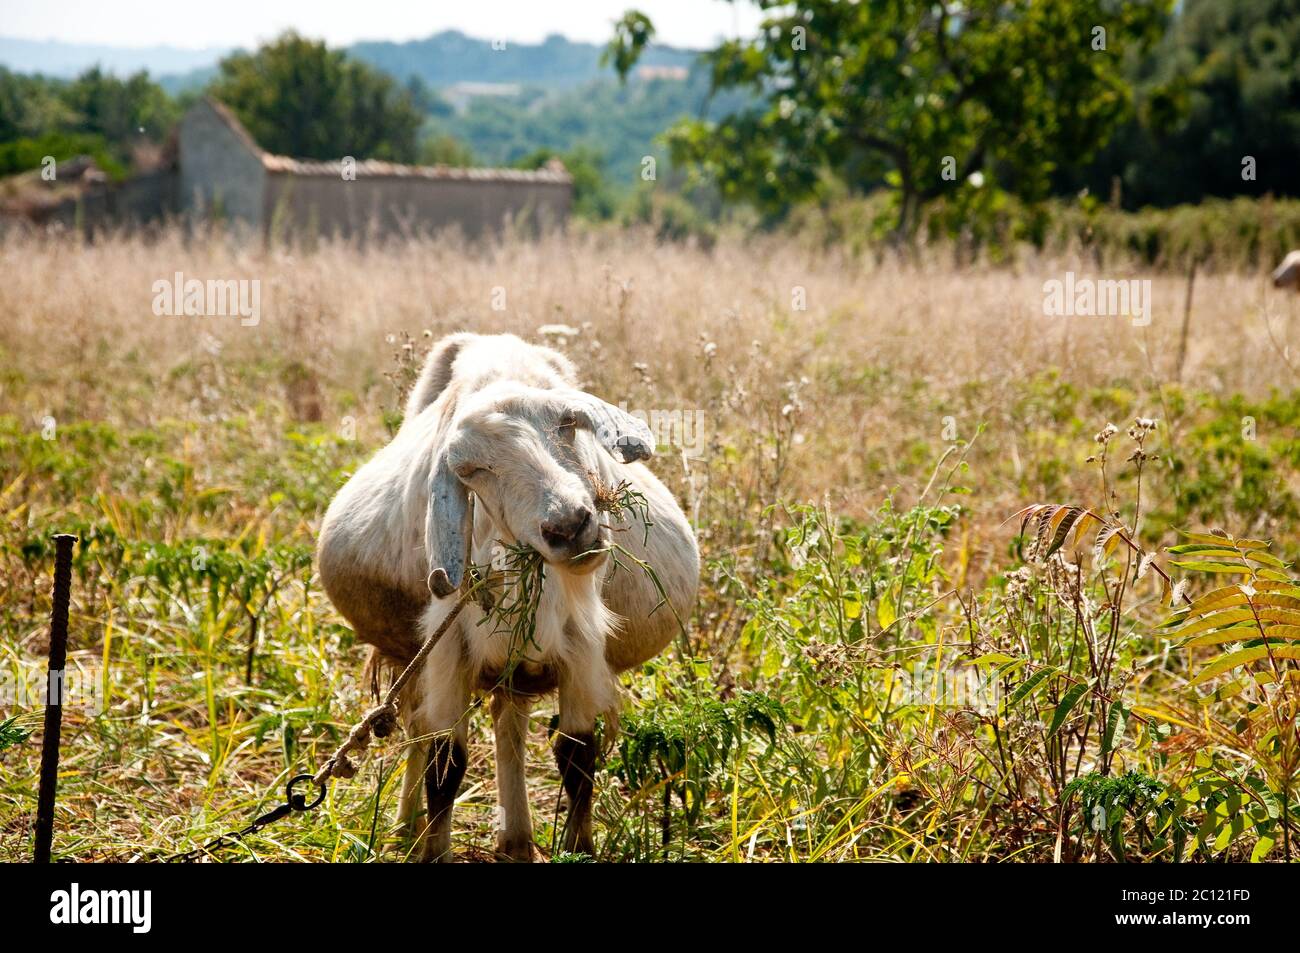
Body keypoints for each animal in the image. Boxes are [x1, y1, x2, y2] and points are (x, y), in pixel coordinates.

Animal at [317, 332, 700, 861]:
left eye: (567, 425)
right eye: (472, 469)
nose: (570, 527)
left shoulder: (582, 648)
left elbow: (577, 757)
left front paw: (579, 847)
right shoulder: (447, 648)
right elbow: (446, 761)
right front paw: (434, 851)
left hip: (515, 670)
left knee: (509, 724)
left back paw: (515, 839)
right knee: (420, 729)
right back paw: (406, 828)